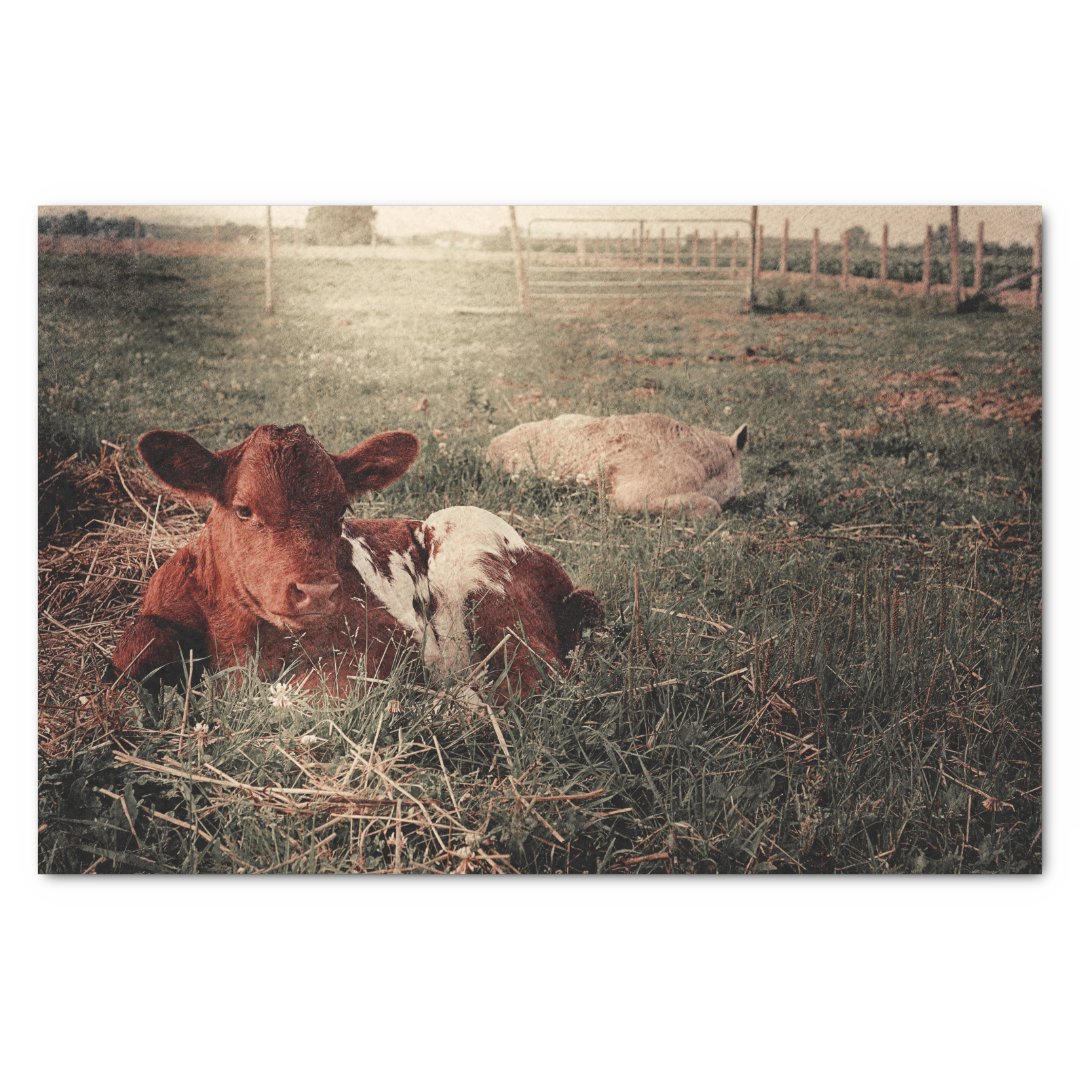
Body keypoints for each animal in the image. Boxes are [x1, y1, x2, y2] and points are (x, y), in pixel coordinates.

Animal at [109, 424, 602, 701]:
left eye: (341, 509)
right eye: (244, 510)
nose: (317, 591)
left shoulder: (383, 639)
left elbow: (308, 697)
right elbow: (130, 654)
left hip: (487, 589)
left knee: (536, 681)